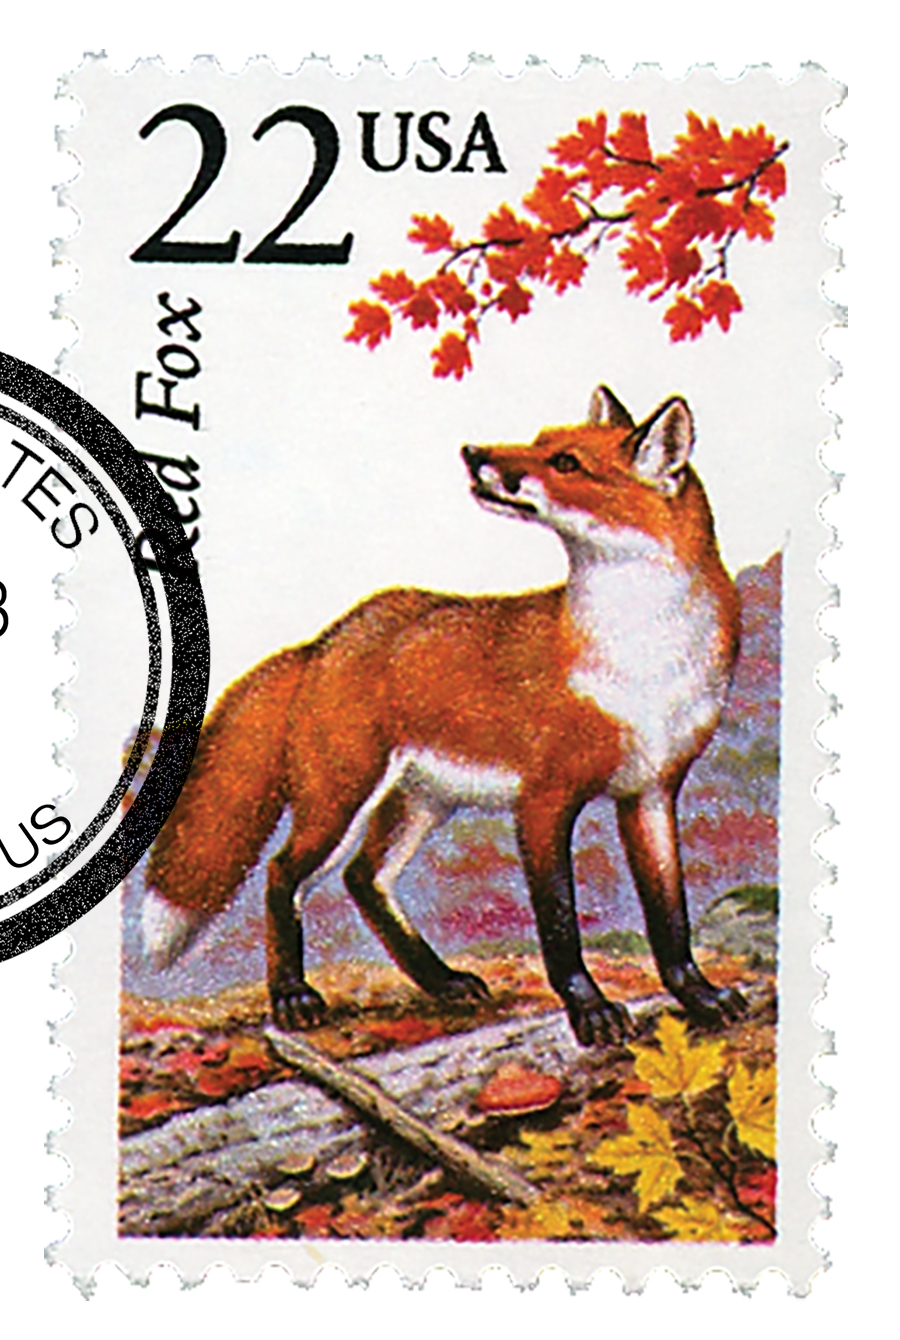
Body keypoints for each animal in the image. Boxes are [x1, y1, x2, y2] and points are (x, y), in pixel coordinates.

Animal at [143, 384, 746, 1046]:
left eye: (565, 462)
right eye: (538, 442)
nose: (473, 453)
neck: (643, 658)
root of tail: (326, 640)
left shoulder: (652, 793)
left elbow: (670, 921)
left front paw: (700, 996)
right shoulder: (543, 800)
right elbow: (560, 926)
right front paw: (589, 1010)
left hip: (419, 803)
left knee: (364, 879)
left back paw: (440, 981)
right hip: (342, 799)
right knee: (283, 875)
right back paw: (292, 995)